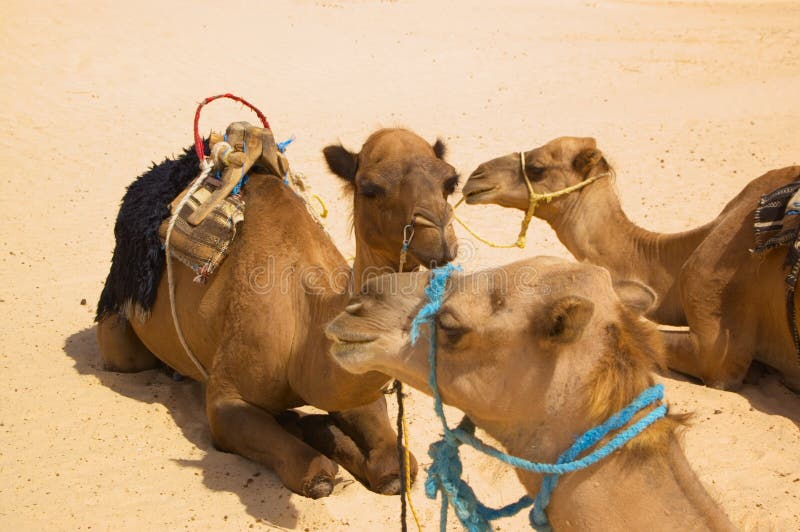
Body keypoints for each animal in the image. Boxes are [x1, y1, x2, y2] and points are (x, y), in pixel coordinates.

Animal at [96, 128, 459, 498]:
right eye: (371, 189)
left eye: (450, 182)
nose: (439, 236)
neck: (305, 320)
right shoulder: (226, 400)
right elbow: (314, 473)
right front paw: (312, 441)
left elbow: (398, 467)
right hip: (118, 321)